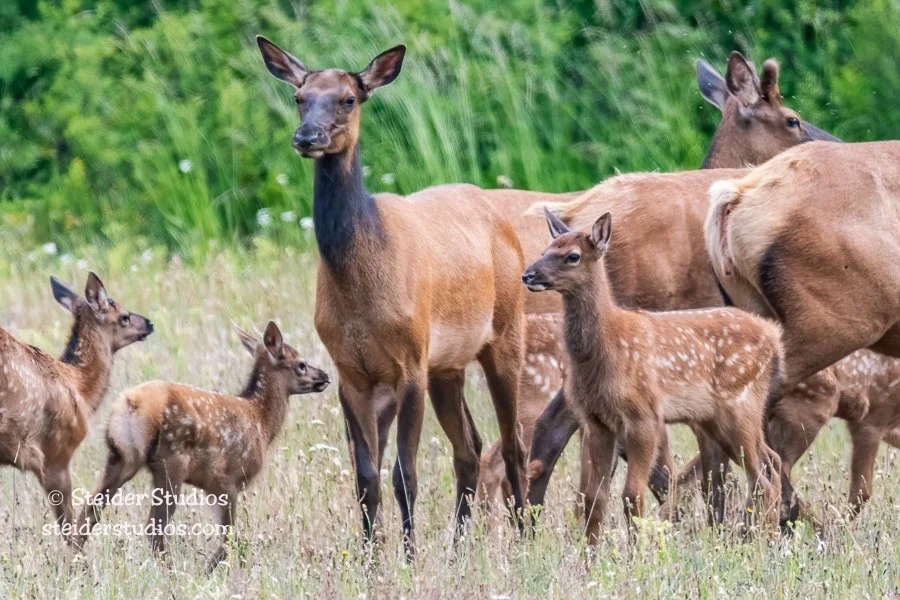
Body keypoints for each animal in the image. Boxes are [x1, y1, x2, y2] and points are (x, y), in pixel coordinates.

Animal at [73, 321, 330, 573]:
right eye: (301, 364)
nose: (325, 376)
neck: (260, 421)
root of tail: (130, 404)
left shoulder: (213, 486)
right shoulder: (228, 480)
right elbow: (229, 539)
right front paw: (208, 572)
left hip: (120, 458)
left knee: (89, 511)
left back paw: (77, 565)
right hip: (171, 461)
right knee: (154, 527)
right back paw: (172, 573)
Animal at [256, 37, 528, 553]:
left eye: (348, 98)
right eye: (300, 97)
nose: (307, 137)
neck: (362, 289)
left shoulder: (410, 363)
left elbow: (405, 474)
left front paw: (408, 553)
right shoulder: (351, 371)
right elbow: (366, 477)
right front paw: (369, 555)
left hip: (504, 335)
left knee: (514, 443)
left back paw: (528, 536)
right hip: (447, 365)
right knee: (470, 446)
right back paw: (457, 548)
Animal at [522, 210, 783, 541]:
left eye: (572, 256)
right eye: (545, 249)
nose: (528, 275)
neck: (608, 347)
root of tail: (774, 337)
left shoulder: (644, 414)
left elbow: (632, 495)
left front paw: (638, 549)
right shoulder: (597, 422)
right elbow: (594, 498)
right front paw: (589, 553)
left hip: (741, 407)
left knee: (763, 475)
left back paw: (766, 541)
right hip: (715, 419)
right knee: (771, 462)